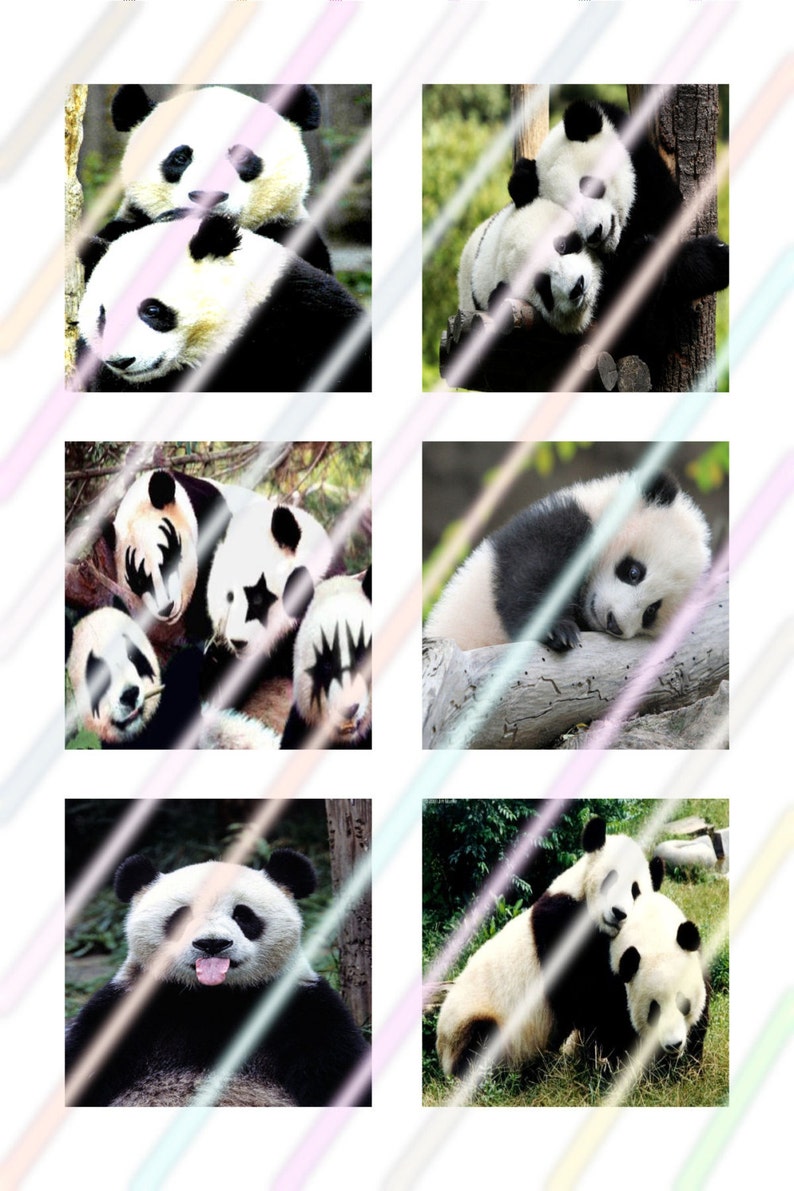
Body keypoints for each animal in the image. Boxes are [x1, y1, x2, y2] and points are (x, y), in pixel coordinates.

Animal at [65, 850, 370, 1106]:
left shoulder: (303, 1009)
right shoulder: (124, 1007)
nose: (212, 943)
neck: (213, 997)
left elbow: (338, 1067)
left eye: (243, 915)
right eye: (182, 916)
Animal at [424, 469, 710, 653]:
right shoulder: (556, 524)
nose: (614, 624)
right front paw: (558, 631)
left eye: (652, 611)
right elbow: (527, 576)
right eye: (633, 572)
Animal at [436, 817, 664, 1078]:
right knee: (481, 1042)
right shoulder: (559, 926)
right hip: (470, 1019)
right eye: (611, 879)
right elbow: (587, 993)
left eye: (636, 891)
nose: (619, 913)